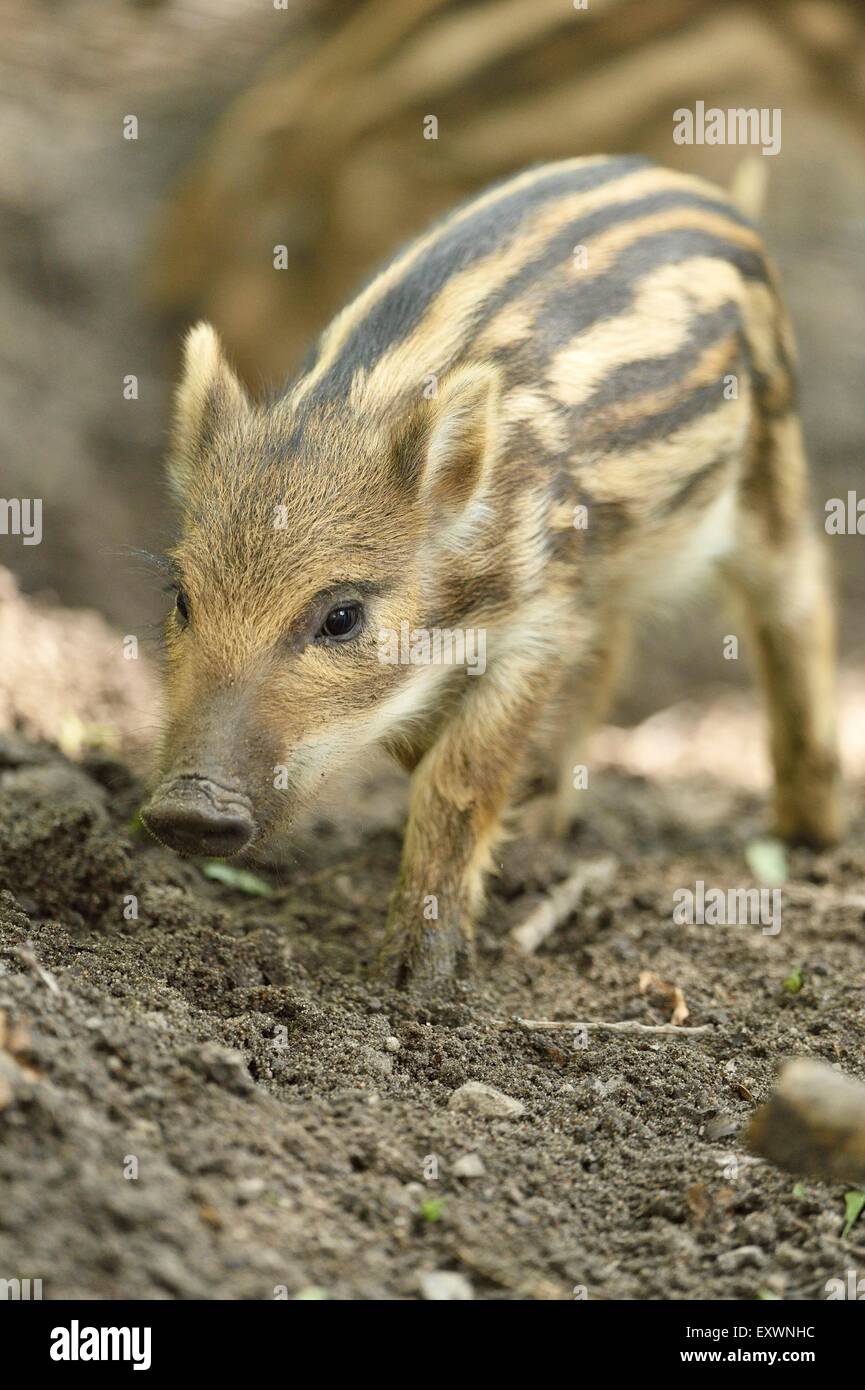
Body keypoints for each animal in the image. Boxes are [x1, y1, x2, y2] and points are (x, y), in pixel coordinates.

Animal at [141, 155, 842, 987]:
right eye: (183, 600)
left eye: (341, 616)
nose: (187, 809)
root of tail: (716, 198)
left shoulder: (539, 617)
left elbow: (461, 774)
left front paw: (412, 978)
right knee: (611, 646)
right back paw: (543, 836)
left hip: (769, 465)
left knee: (797, 602)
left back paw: (812, 838)